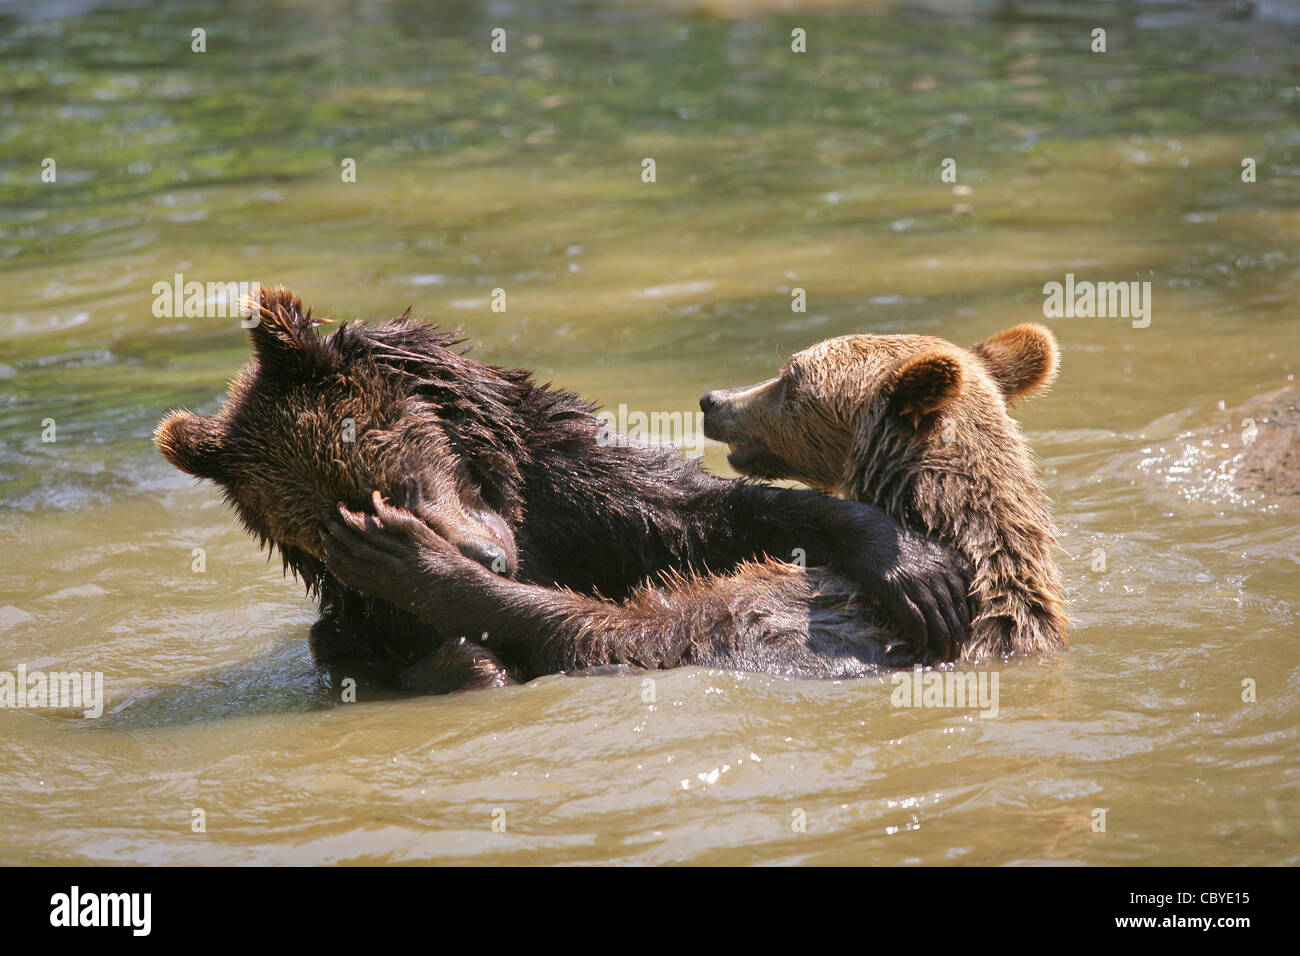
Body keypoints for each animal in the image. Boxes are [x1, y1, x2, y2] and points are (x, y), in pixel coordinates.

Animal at [155, 287, 972, 692]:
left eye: (398, 476)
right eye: (331, 523)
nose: (490, 560)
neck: (514, 513)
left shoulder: (580, 491)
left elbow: (707, 514)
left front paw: (910, 565)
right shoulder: (374, 622)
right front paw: (466, 649)